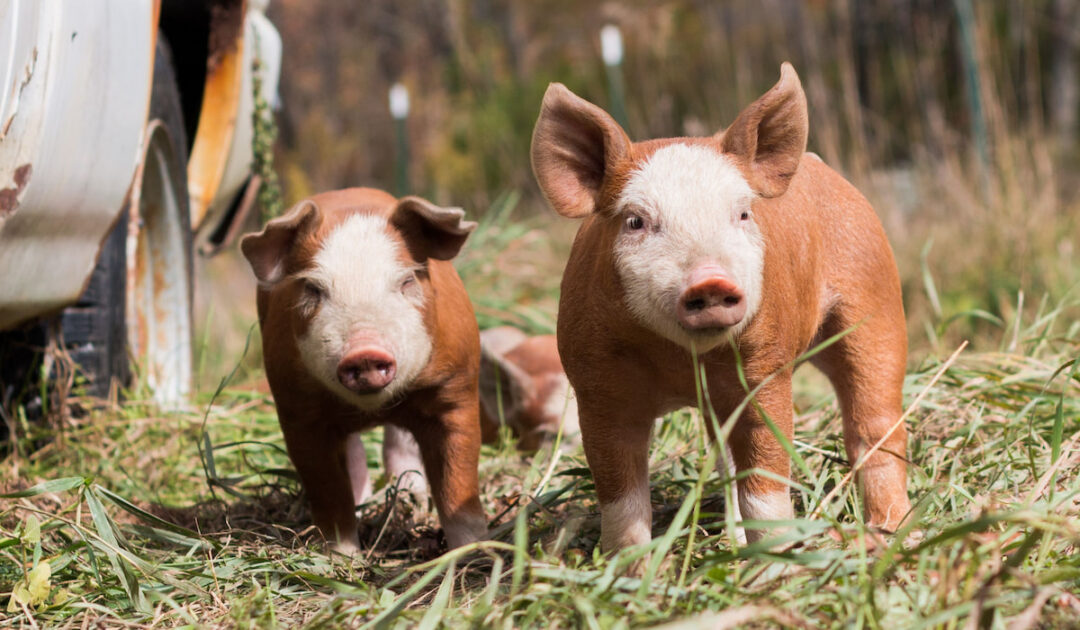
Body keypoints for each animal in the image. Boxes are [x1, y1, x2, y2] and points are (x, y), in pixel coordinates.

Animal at [240, 187, 487, 552]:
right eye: (313, 289)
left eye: (406, 280)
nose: (364, 351)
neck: (374, 409)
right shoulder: (296, 410)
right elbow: (329, 495)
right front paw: (344, 558)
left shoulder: (456, 389)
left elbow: (458, 485)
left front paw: (474, 554)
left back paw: (409, 498)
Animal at [530, 63, 910, 553]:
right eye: (635, 221)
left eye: (743, 214)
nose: (710, 280)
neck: (681, 363)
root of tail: (823, 167)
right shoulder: (595, 385)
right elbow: (622, 501)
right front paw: (628, 565)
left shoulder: (767, 370)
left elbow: (766, 485)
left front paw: (776, 560)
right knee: (727, 459)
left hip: (875, 296)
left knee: (875, 421)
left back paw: (893, 531)